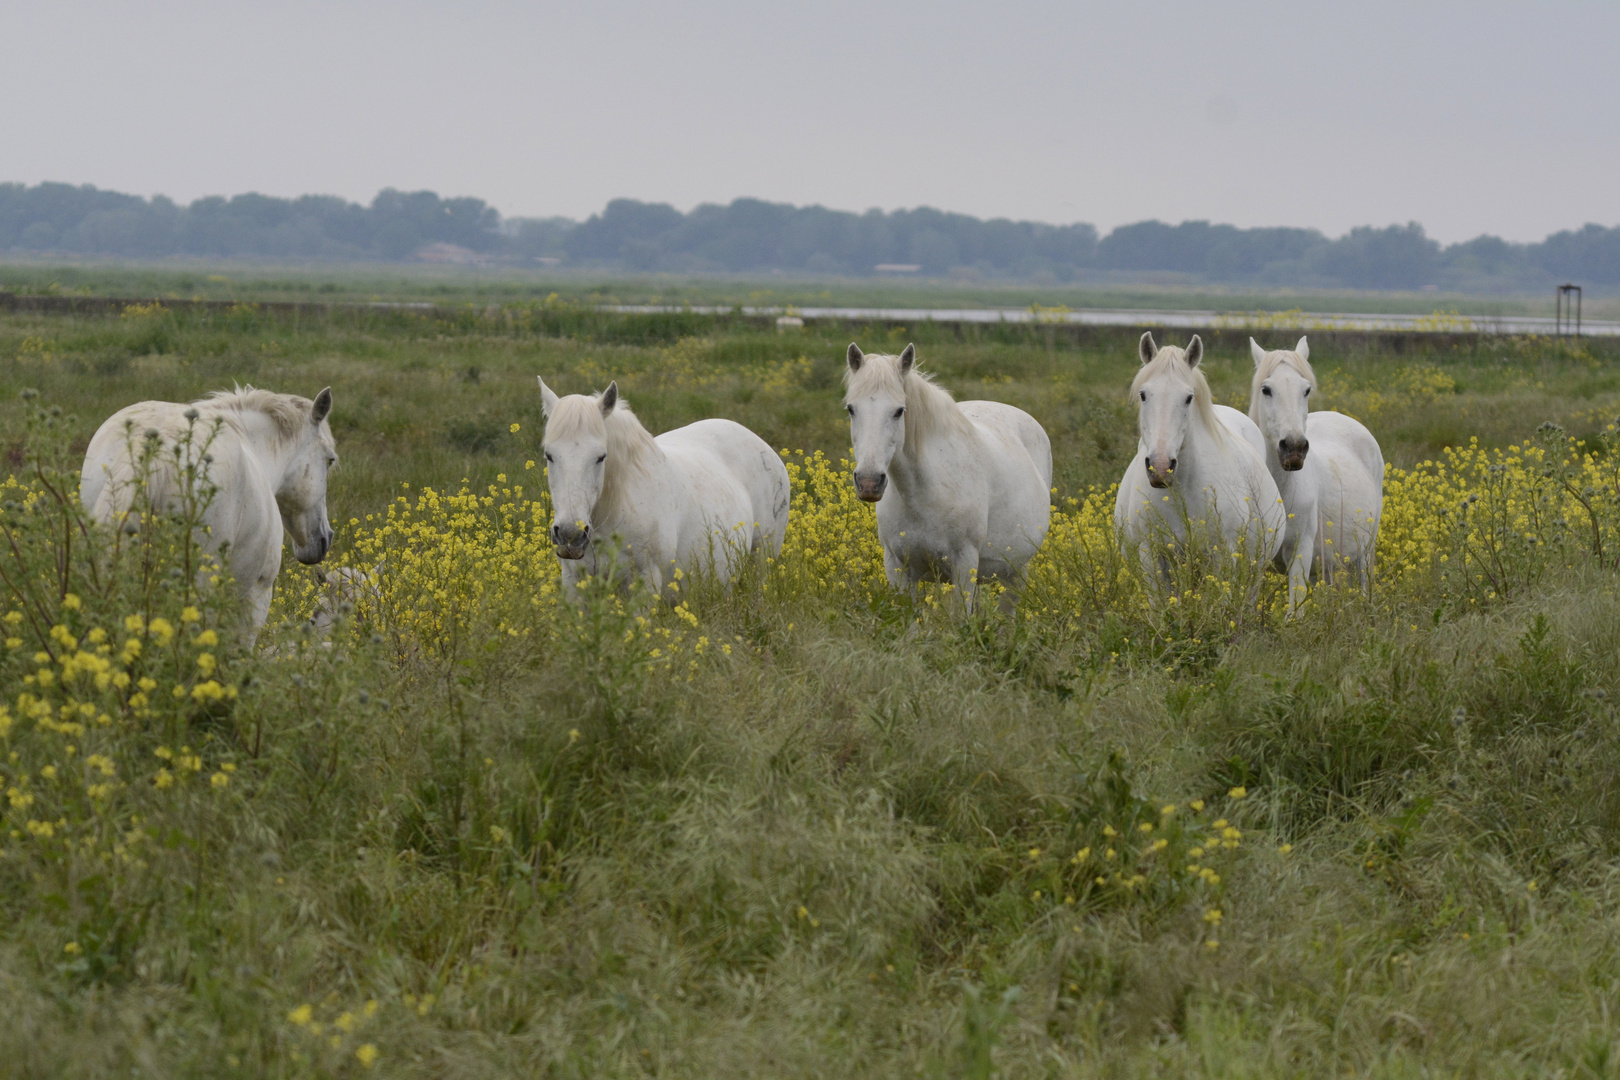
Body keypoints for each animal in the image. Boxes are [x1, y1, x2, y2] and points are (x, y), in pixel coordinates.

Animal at [537, 380, 790, 599]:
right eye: (549, 455)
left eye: (601, 457)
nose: (570, 534)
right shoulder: (574, 582)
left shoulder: (646, 581)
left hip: (761, 561)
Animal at [842, 344, 1056, 605]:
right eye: (851, 409)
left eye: (899, 411)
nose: (869, 482)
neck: (922, 494)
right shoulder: (897, 566)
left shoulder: (964, 565)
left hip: (1015, 572)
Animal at [1114, 338, 1276, 586]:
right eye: (1143, 394)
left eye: (1188, 398)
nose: (1160, 467)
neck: (1182, 490)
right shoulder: (1150, 555)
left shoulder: (1223, 556)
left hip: (1254, 571)